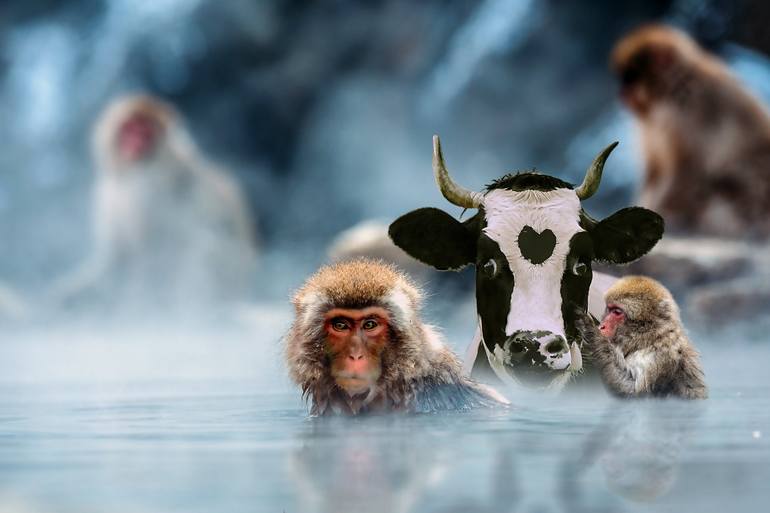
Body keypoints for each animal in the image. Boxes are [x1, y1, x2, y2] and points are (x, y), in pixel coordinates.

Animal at [51, 94, 257, 312]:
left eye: (146, 132)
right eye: (129, 128)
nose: (135, 144)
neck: (130, 175)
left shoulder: (148, 193)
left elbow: (152, 254)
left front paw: (138, 303)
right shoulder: (107, 194)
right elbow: (115, 259)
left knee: (200, 246)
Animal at [574, 275, 707, 399]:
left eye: (617, 312)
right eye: (610, 309)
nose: (602, 326)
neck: (650, 337)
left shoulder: (660, 355)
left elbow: (634, 392)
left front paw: (591, 331)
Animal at [611, 24, 770, 239]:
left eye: (631, 77)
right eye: (624, 78)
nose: (622, 93)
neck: (671, 91)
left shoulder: (689, 115)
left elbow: (688, 168)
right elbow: (655, 168)